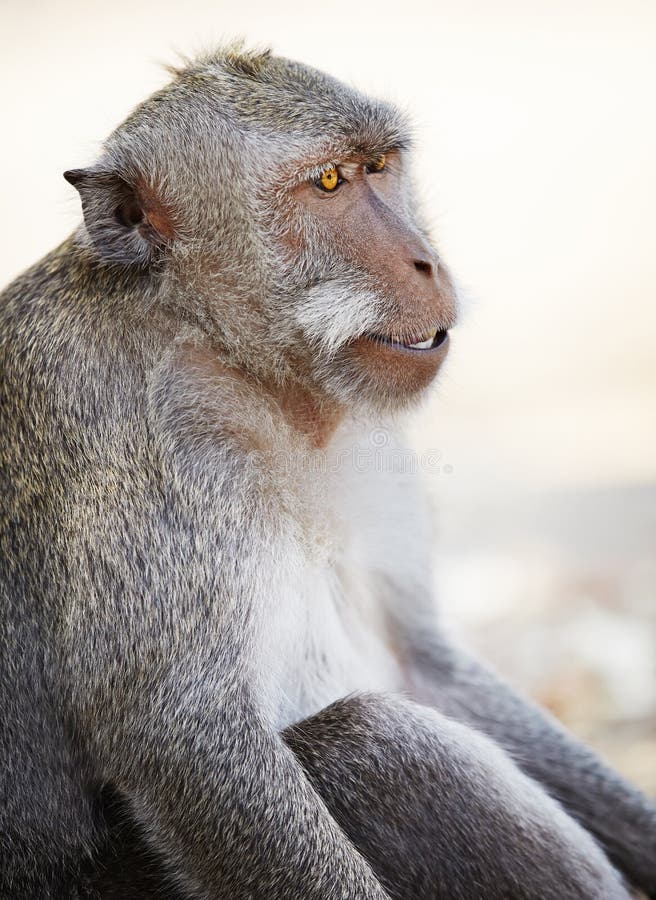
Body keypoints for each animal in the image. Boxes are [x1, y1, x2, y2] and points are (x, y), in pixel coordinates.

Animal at [0, 43, 654, 900]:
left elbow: (420, 658)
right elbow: (187, 742)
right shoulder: (145, 453)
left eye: (379, 167)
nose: (426, 260)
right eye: (330, 184)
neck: (234, 358)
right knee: (370, 744)